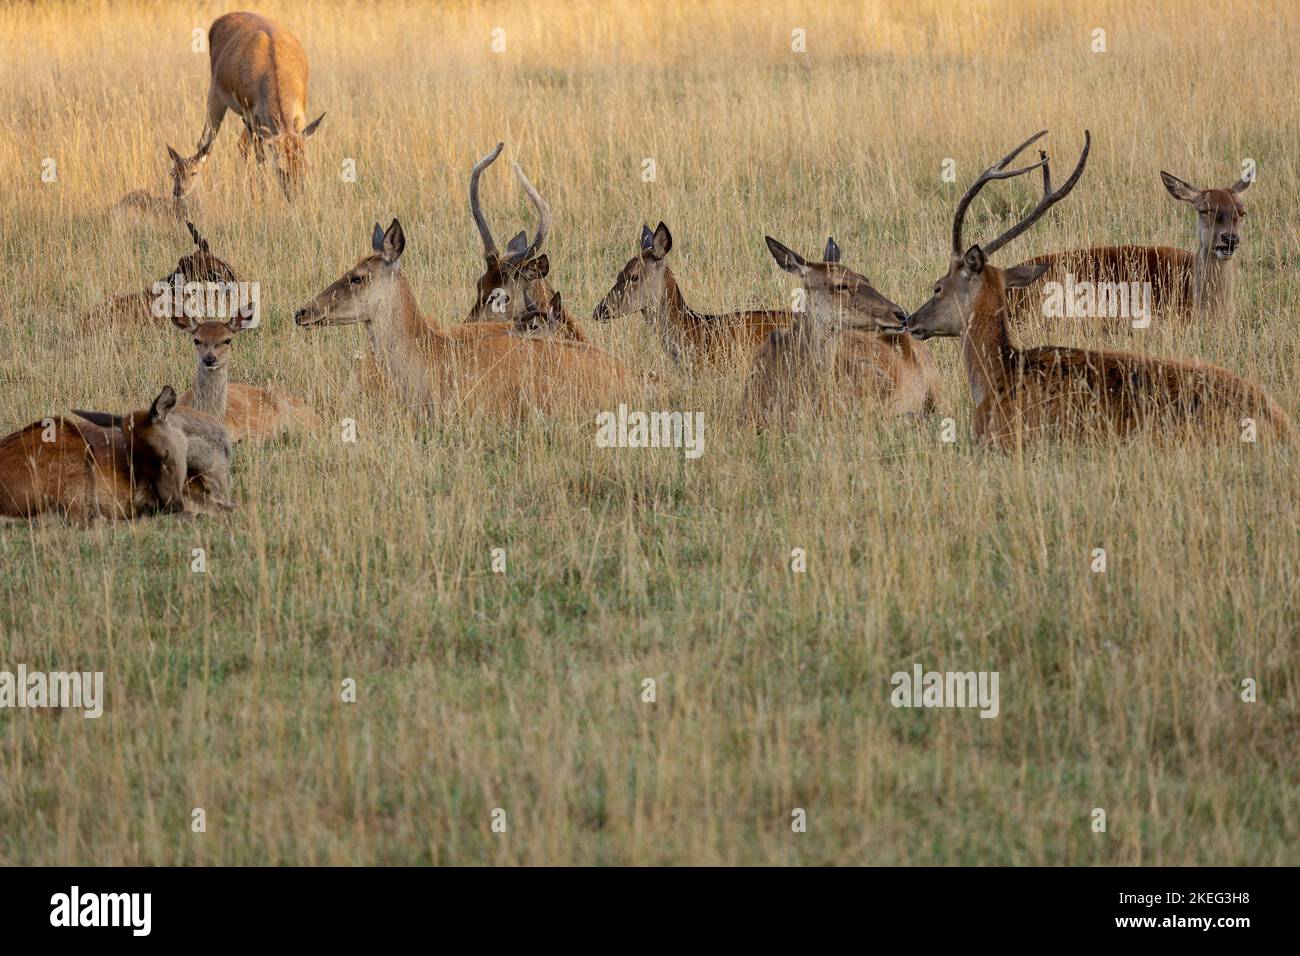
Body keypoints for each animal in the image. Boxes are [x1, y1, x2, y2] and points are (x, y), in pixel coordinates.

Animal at [199, 11, 324, 199]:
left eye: (305, 164)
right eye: (280, 168)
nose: (295, 197)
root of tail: (220, 21)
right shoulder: (253, 121)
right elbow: (261, 160)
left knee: (241, 145)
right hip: (216, 101)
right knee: (206, 143)